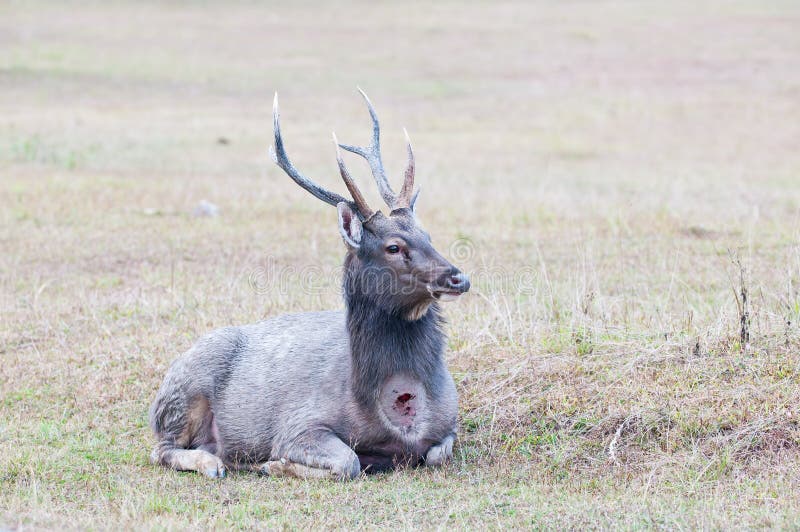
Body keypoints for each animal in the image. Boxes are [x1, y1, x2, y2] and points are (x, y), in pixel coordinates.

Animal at [149, 90, 471, 480]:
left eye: (428, 235)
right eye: (393, 247)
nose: (457, 277)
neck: (403, 410)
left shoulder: (449, 422)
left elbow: (439, 453)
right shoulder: (298, 423)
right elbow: (347, 462)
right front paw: (274, 463)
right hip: (183, 392)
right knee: (161, 449)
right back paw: (213, 463)